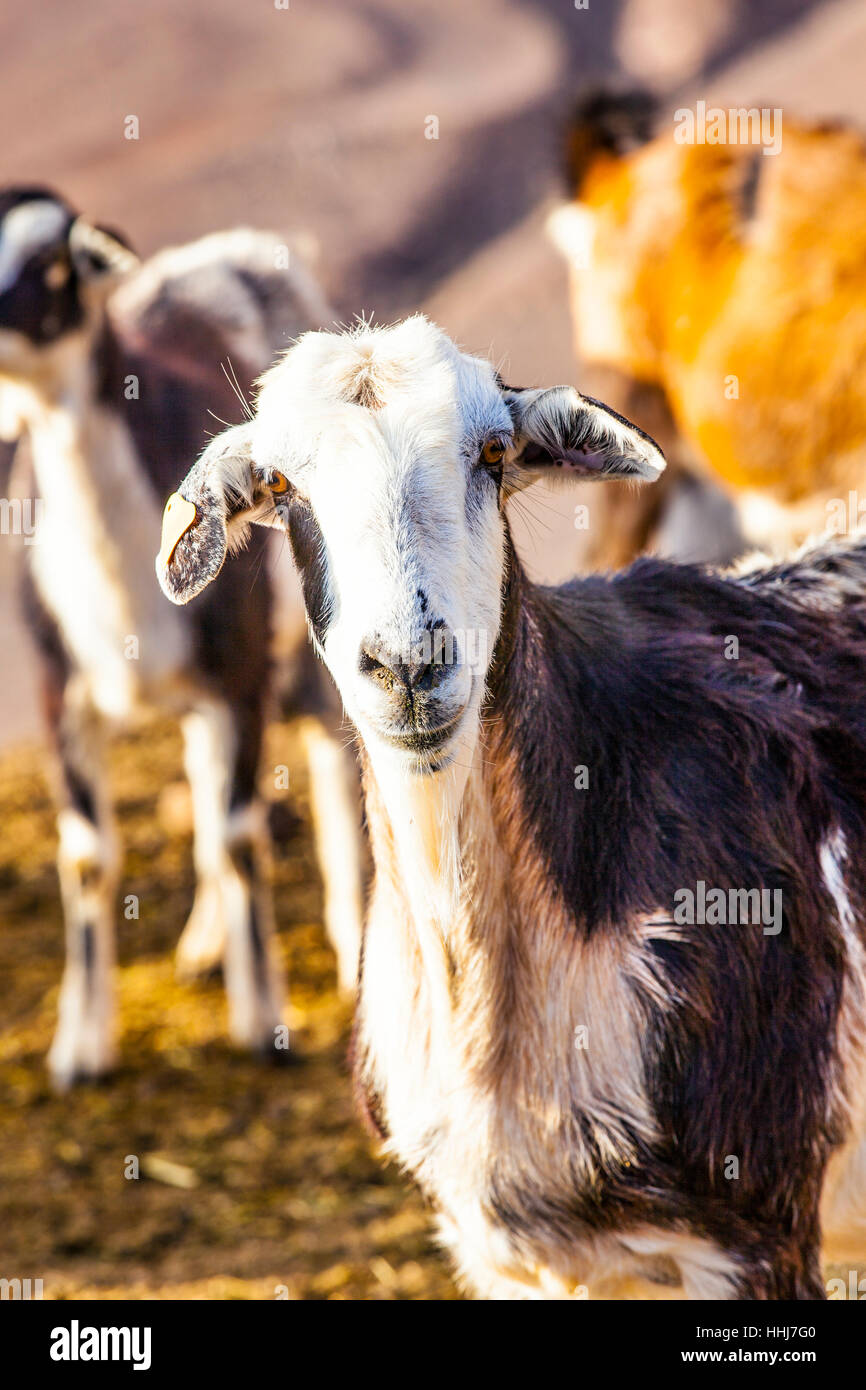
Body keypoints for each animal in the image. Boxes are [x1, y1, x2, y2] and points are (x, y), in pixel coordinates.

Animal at [0, 187, 363, 1087]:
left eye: (49, 264)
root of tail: (247, 244)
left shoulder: (238, 674)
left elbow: (239, 840)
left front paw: (262, 1021)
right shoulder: (60, 690)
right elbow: (88, 856)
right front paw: (81, 1048)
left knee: (332, 761)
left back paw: (350, 939)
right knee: (201, 781)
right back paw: (204, 943)